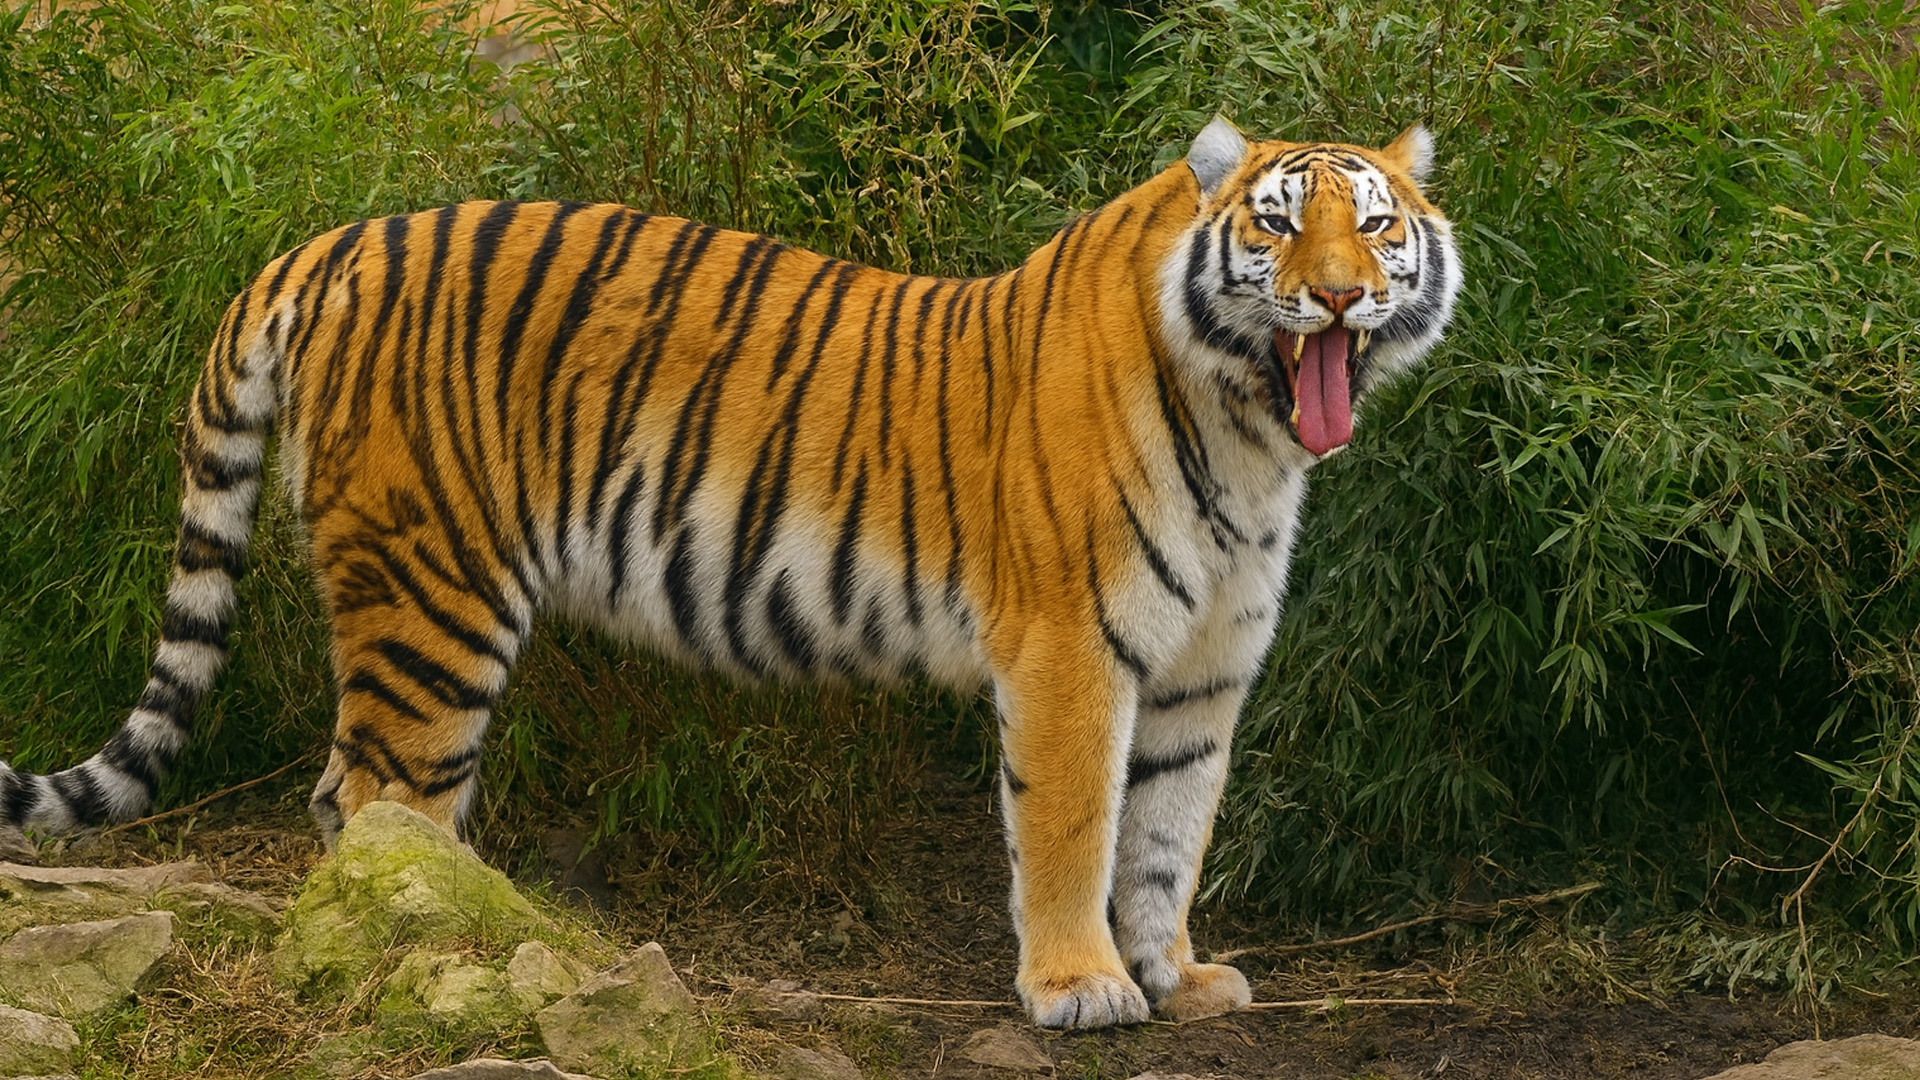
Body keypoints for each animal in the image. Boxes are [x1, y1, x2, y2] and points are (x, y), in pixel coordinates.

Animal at [0, 117, 1461, 1028]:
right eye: (1277, 227)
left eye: (1377, 228)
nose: (1339, 297)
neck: (1250, 435)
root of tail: (336, 239)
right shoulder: (1068, 650)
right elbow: (1070, 829)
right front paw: (1078, 989)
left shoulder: (1204, 672)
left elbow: (1167, 835)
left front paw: (1174, 979)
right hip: (435, 595)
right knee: (374, 799)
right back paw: (455, 949)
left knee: (363, 800)